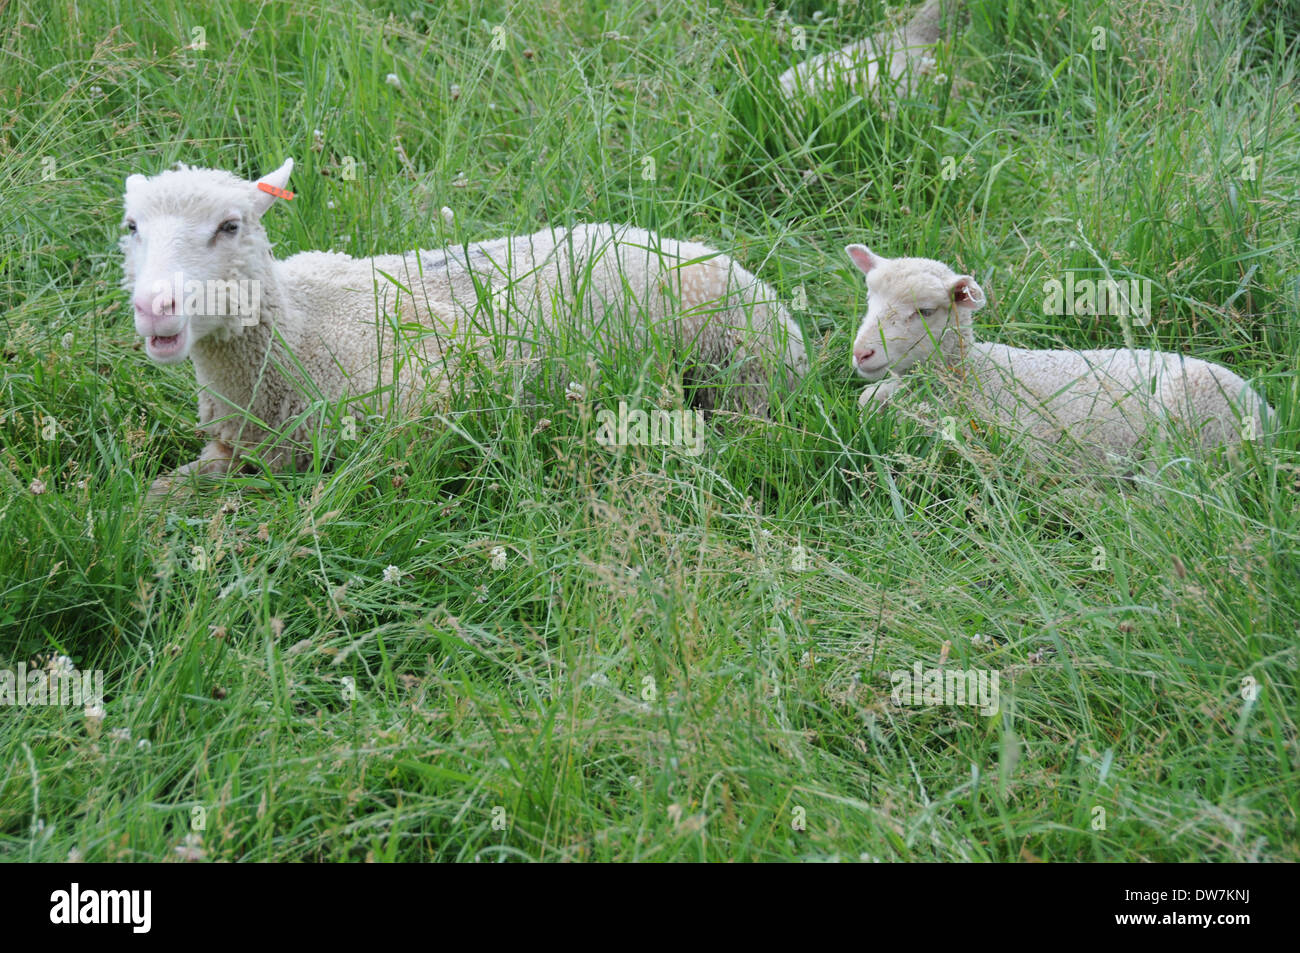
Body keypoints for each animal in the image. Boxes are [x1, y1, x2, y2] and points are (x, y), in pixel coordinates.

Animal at [121, 159, 808, 494]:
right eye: (131, 227)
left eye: (230, 226)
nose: (156, 306)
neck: (303, 327)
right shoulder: (236, 446)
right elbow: (153, 495)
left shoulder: (411, 427)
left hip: (745, 380)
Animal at [845, 245, 1272, 473]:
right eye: (869, 297)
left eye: (926, 311)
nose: (862, 352)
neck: (969, 376)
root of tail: (1269, 414)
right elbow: (867, 400)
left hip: (1191, 431)